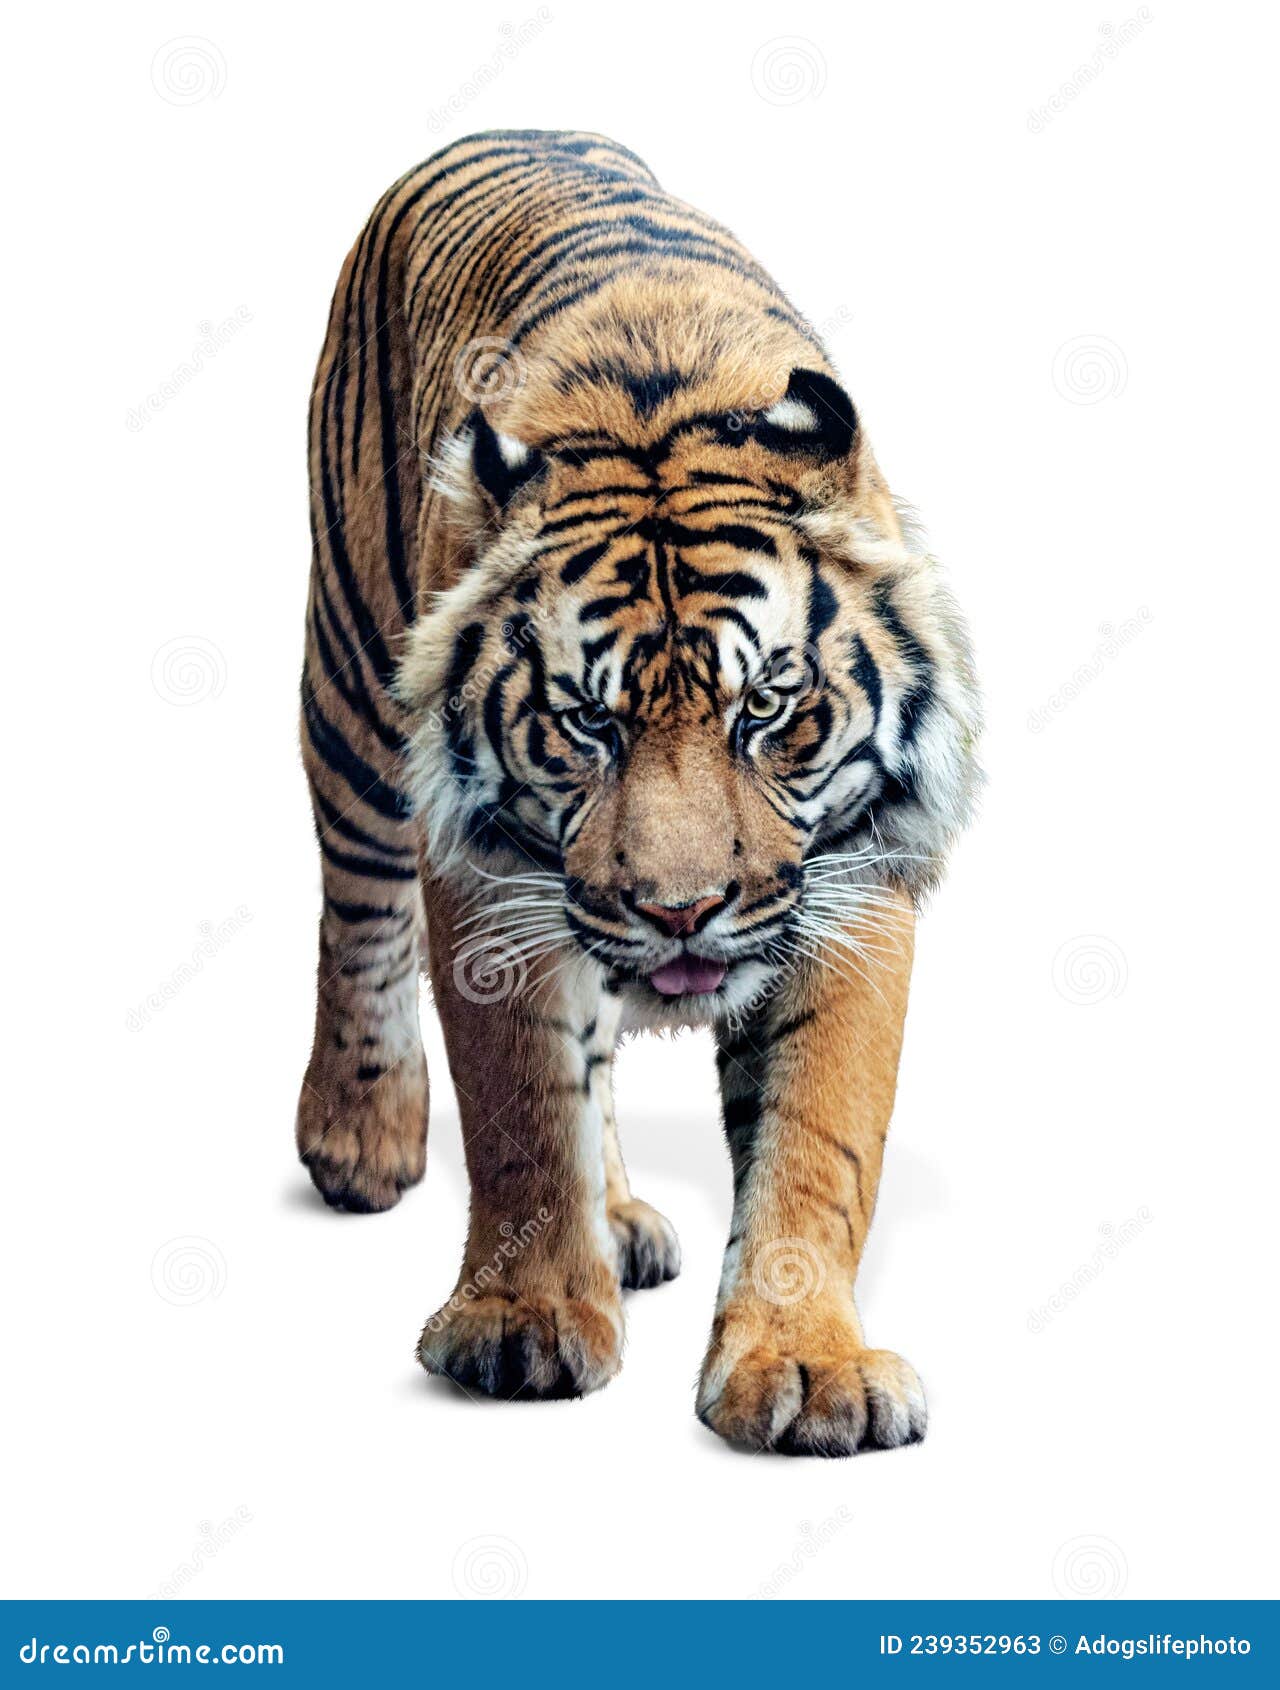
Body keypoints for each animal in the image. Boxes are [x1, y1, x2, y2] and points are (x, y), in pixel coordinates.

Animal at [297, 128, 980, 1456]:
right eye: (586, 723)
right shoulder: (492, 877)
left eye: (763, 708)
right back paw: (358, 1136)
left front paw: (806, 1367)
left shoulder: (853, 876)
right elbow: (518, 1102)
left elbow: (815, 1134)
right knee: (356, 905)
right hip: (349, 677)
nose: (678, 913)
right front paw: (520, 1319)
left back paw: (617, 1216)